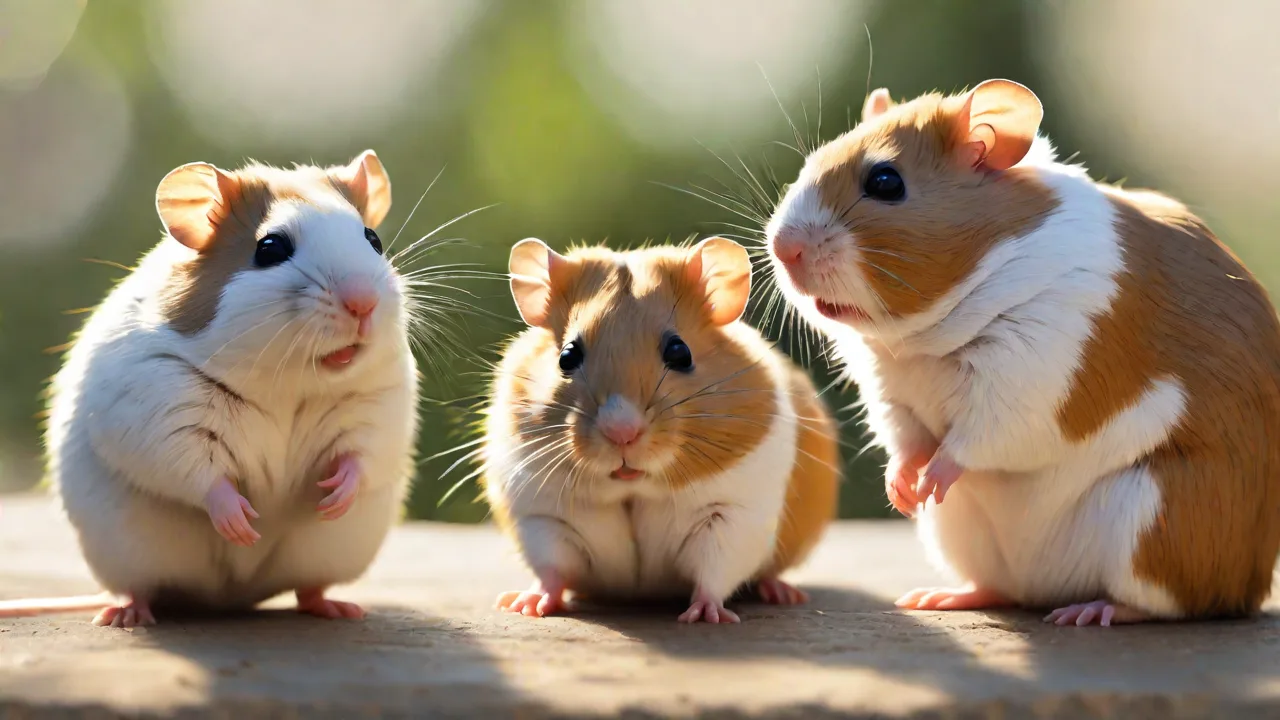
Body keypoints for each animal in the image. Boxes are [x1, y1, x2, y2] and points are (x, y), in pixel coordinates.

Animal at [0, 151, 419, 627]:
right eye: (270, 248)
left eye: (373, 239)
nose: (363, 304)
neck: (286, 382)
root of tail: (230, 599)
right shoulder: (161, 406)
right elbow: (200, 474)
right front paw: (240, 523)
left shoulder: (379, 403)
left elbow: (361, 454)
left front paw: (336, 496)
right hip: (129, 556)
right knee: (137, 587)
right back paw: (127, 613)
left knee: (307, 588)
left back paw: (335, 606)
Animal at [482, 237, 840, 623]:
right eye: (567, 356)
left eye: (680, 352)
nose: (622, 432)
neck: (634, 489)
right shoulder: (543, 517)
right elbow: (551, 569)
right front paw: (523, 606)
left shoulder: (731, 516)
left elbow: (714, 573)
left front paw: (705, 616)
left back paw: (784, 594)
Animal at [763, 78, 1280, 626]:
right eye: (812, 162)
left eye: (885, 181)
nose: (782, 247)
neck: (924, 339)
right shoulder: (890, 396)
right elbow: (904, 438)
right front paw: (902, 489)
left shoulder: (1036, 375)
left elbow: (980, 438)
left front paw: (932, 478)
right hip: (962, 533)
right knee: (1001, 589)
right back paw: (948, 595)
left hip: (1156, 519)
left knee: (1169, 604)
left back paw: (1095, 610)